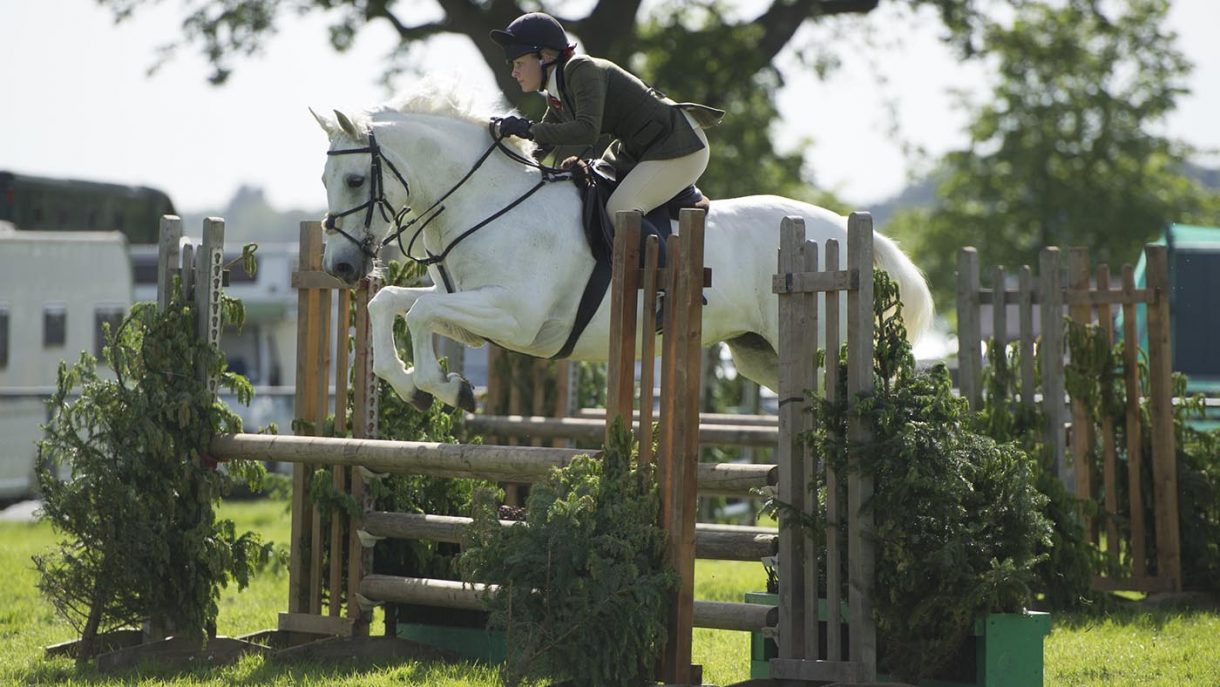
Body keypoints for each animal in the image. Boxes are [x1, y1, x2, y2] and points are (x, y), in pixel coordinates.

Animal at [311, 84, 933, 413]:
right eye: (325, 180)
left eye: (354, 181)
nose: (339, 267)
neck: (486, 201)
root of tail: (851, 230)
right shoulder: (477, 318)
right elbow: (389, 303)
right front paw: (414, 387)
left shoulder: (514, 316)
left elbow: (416, 310)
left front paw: (443, 387)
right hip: (762, 354)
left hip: (827, 351)